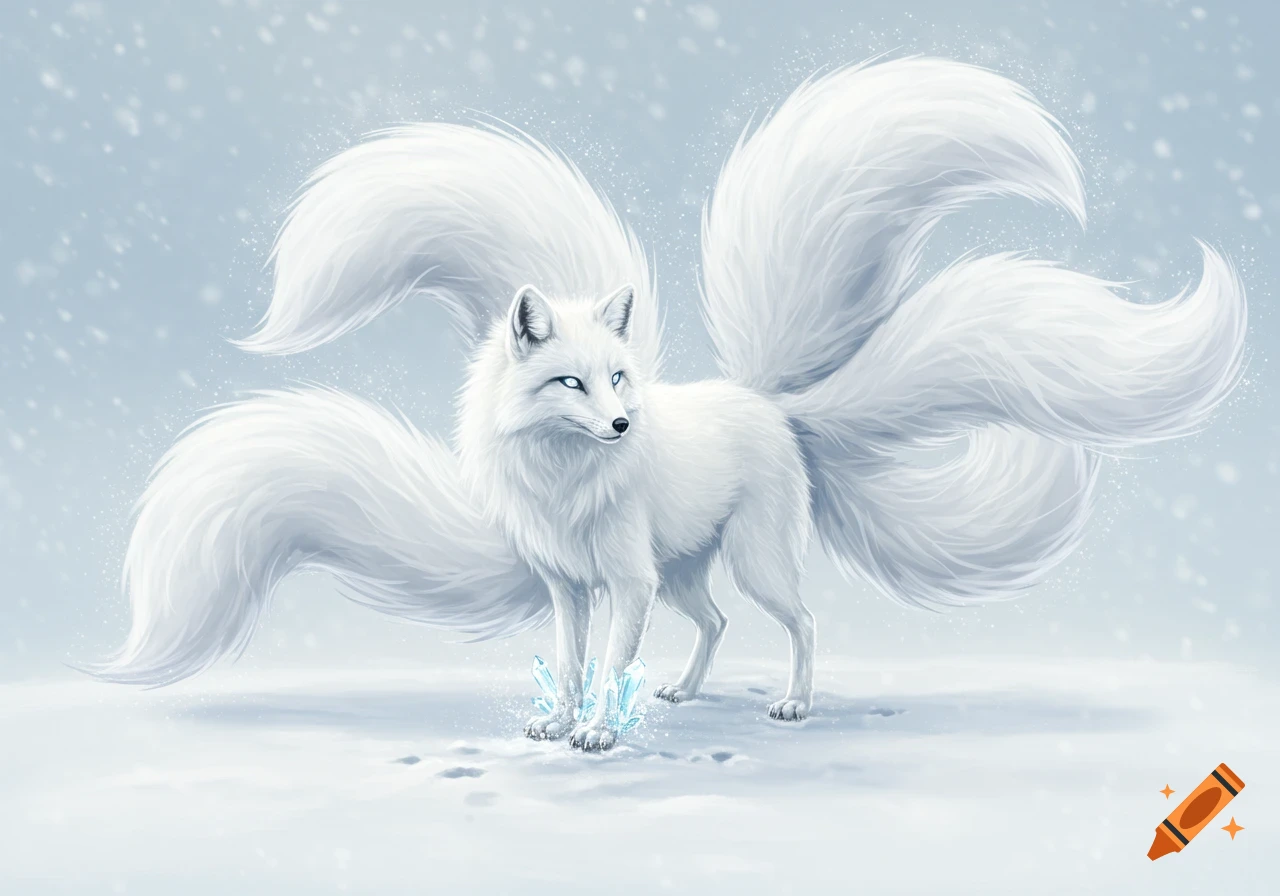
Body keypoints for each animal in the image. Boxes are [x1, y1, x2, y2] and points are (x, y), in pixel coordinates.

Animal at [88, 58, 1246, 751]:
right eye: (572, 380)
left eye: (619, 375)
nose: (621, 425)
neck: (561, 479)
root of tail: (770, 403)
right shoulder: (571, 586)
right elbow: (570, 660)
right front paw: (558, 727)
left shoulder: (625, 587)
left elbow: (609, 662)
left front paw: (600, 734)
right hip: (689, 575)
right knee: (721, 621)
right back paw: (687, 693)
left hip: (745, 565)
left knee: (803, 619)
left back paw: (793, 702)